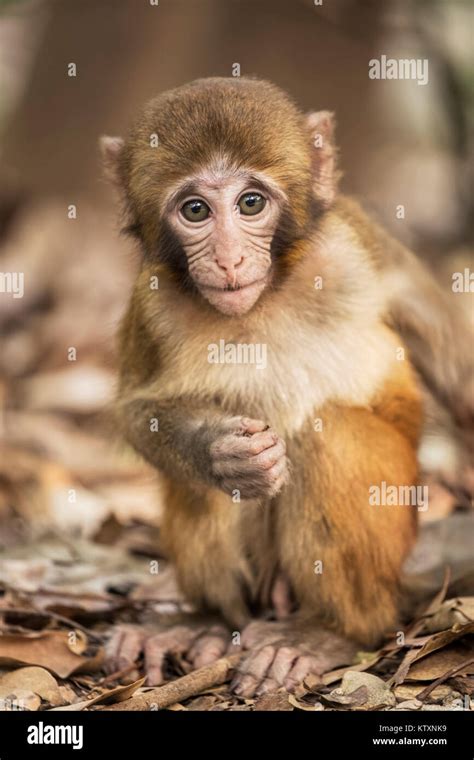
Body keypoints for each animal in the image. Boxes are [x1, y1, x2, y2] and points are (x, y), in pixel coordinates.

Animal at [101, 77, 473, 697]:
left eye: (251, 203)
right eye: (195, 210)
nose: (228, 258)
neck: (269, 292)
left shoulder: (356, 240)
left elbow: (453, 359)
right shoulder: (151, 300)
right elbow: (139, 409)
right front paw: (226, 454)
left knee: (329, 434)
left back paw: (329, 633)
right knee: (201, 487)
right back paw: (206, 621)